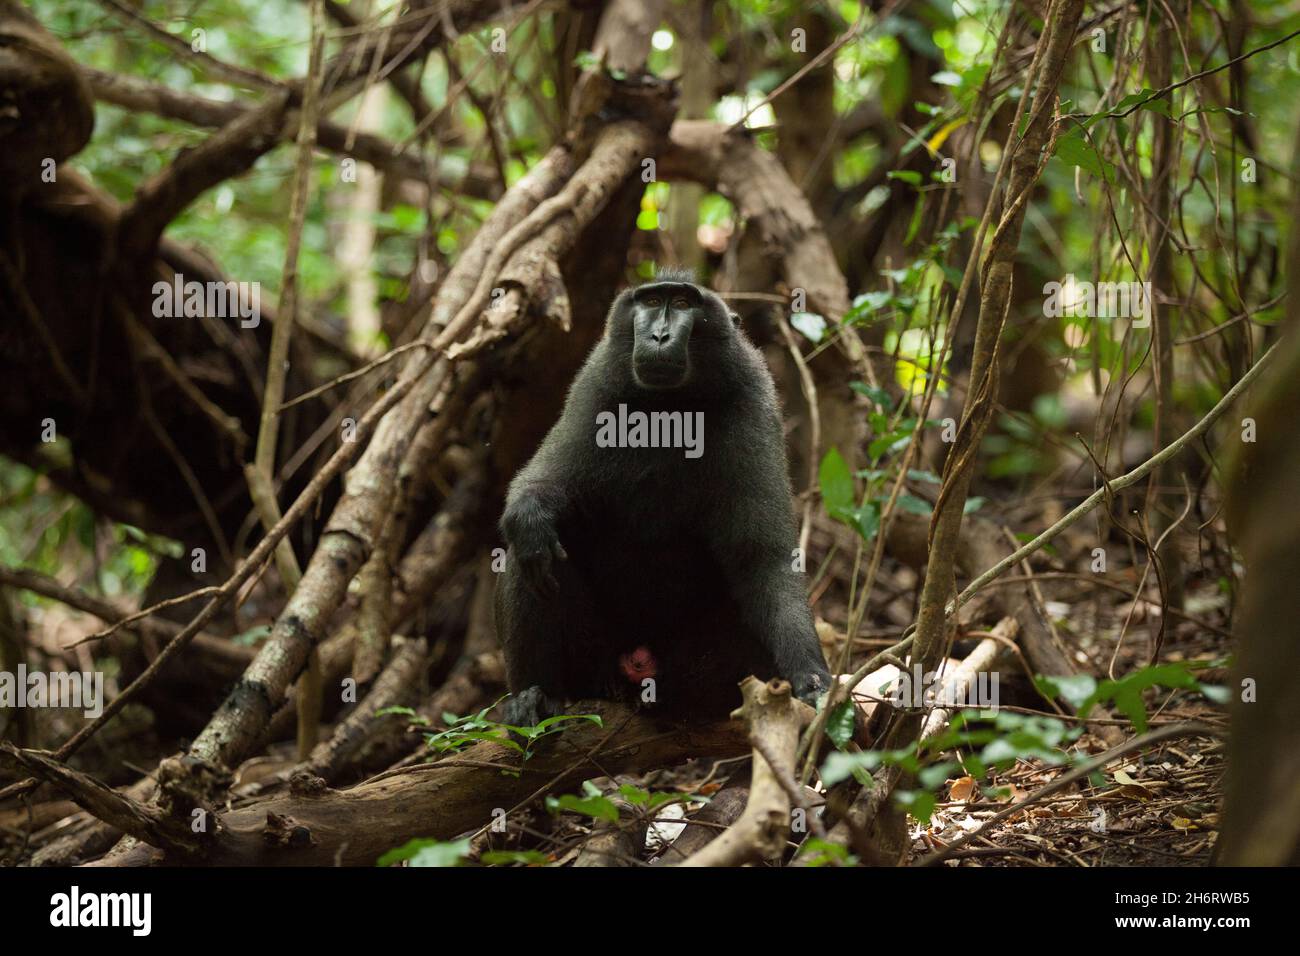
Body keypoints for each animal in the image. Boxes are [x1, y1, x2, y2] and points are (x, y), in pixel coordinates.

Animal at [495, 272, 832, 728]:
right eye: (652, 301)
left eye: (685, 304)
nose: (659, 335)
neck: (668, 412)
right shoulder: (596, 384)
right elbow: (537, 490)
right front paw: (531, 512)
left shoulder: (753, 400)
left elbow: (763, 560)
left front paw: (811, 679)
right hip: (595, 664)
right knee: (533, 549)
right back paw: (535, 698)